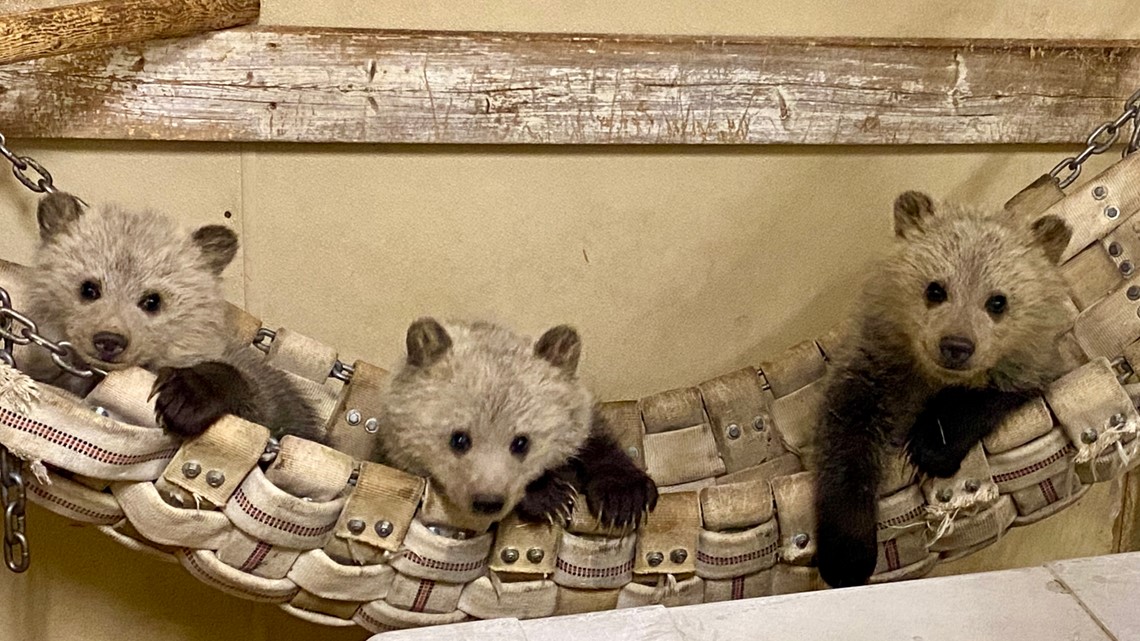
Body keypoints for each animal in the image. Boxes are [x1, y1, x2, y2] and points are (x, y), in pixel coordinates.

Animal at [24, 191, 324, 443]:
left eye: (152, 299)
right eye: (88, 288)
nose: (109, 340)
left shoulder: (269, 401)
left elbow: (257, 402)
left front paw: (186, 398)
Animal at [374, 317, 658, 529]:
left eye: (522, 442)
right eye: (459, 438)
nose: (487, 501)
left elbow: (598, 444)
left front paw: (623, 500)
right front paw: (551, 499)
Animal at [813, 190, 1073, 588]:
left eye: (998, 300)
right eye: (934, 288)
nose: (956, 345)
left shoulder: (1032, 363)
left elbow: (991, 398)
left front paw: (931, 446)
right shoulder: (872, 367)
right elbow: (846, 443)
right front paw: (847, 556)